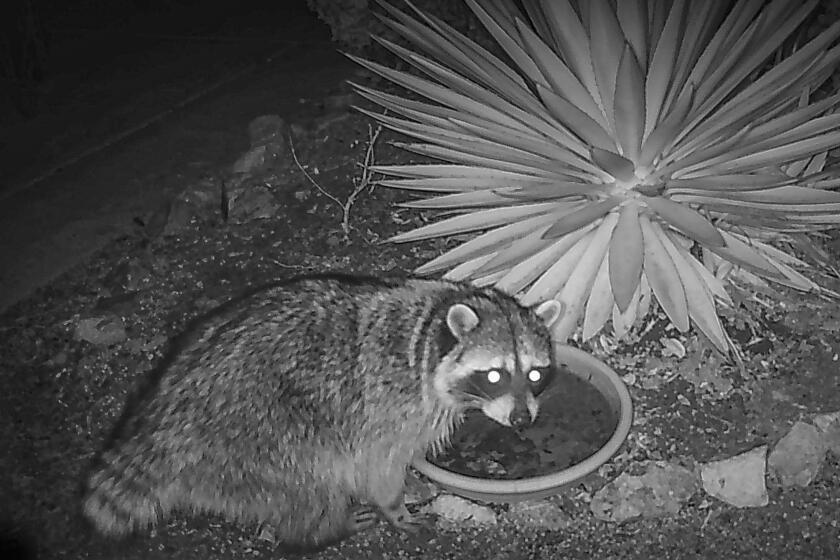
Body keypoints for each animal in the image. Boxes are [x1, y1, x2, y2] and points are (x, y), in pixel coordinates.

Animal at [81, 273, 563, 550]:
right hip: (251, 437)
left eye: (536, 374)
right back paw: (321, 530)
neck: (428, 334)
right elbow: (378, 465)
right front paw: (396, 507)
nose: (522, 420)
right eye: (495, 375)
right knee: (308, 482)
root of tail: (161, 419)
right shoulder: (387, 407)